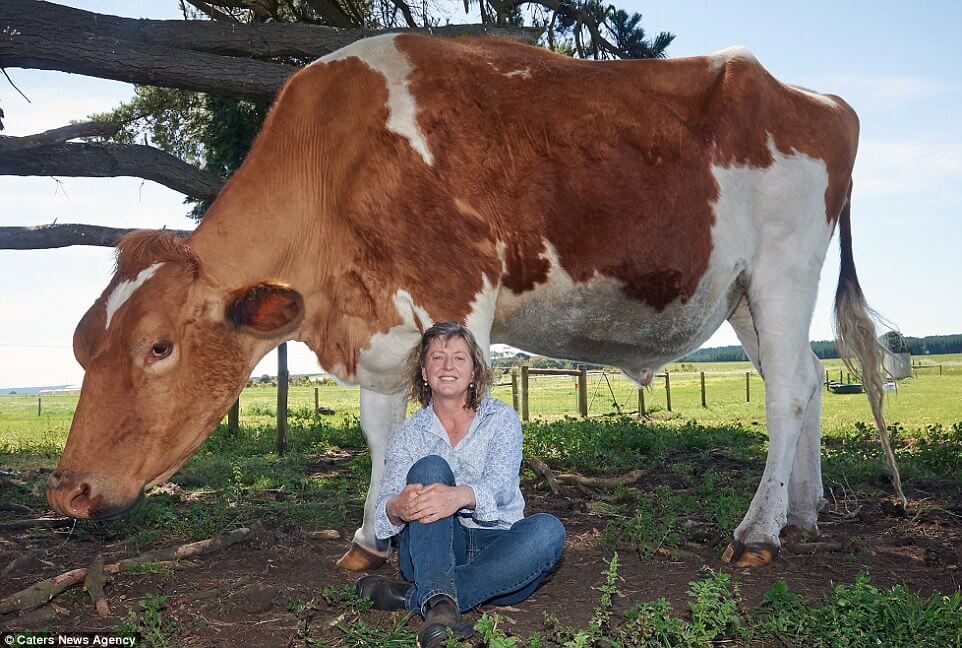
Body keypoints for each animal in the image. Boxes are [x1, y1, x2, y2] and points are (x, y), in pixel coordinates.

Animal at [47, 33, 902, 569]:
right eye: (83, 344)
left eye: (158, 346)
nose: (69, 490)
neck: (337, 163)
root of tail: (818, 98)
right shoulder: (381, 324)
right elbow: (383, 432)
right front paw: (371, 537)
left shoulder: (459, 296)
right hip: (741, 294)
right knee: (813, 379)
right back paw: (803, 511)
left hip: (784, 268)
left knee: (786, 390)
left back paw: (759, 531)